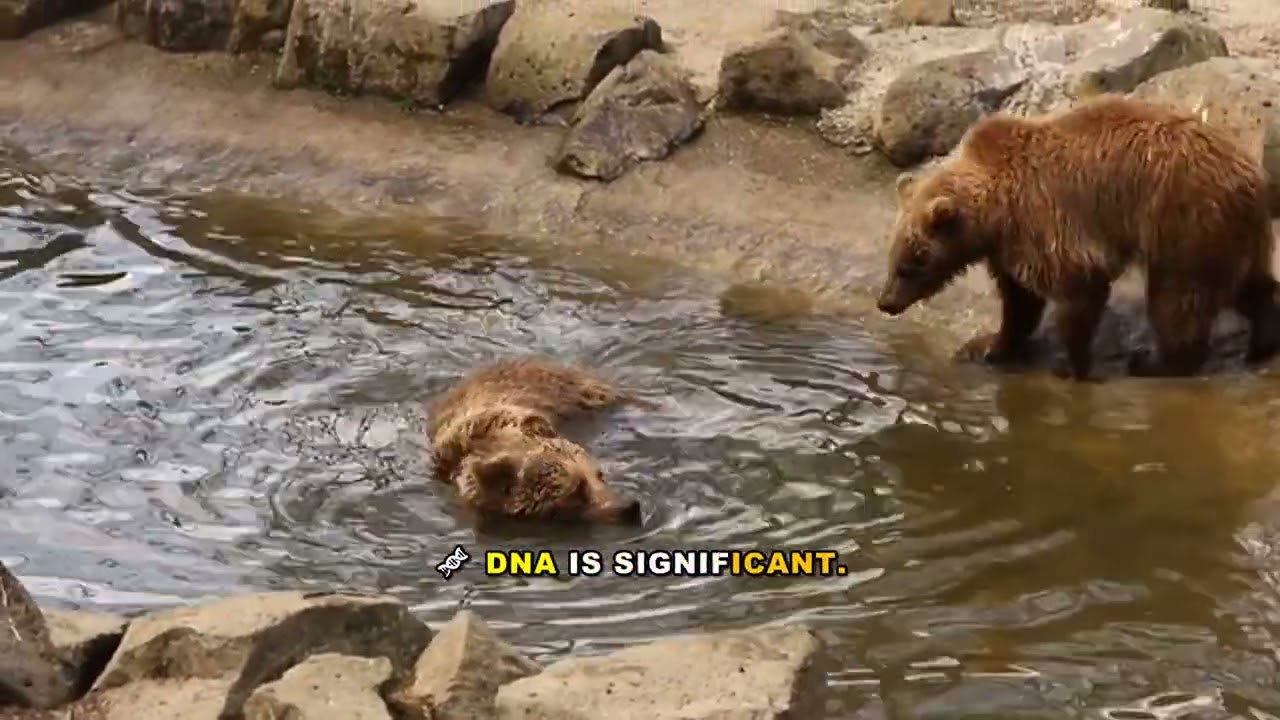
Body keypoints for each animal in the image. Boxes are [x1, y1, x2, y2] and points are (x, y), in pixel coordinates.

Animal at [875, 93, 1279, 381]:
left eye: (913, 261)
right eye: (893, 257)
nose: (886, 302)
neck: (992, 214)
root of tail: (1252, 174)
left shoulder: (1042, 220)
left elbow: (1077, 285)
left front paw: (1072, 364)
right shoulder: (1008, 247)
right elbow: (1020, 302)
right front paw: (989, 346)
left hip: (1184, 220)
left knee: (1179, 297)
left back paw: (1155, 362)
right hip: (1227, 232)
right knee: (1248, 285)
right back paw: (1262, 341)